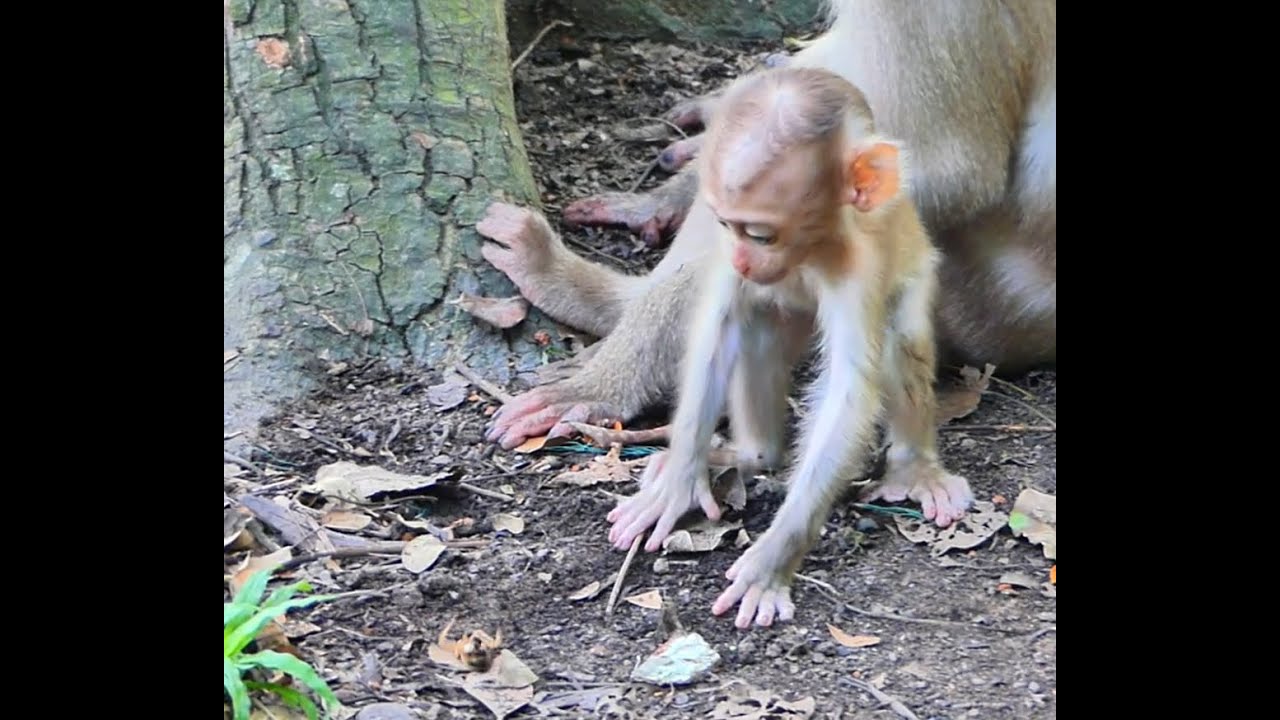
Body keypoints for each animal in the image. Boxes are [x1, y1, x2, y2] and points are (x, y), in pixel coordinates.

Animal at [604, 67, 971, 629]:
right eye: (724, 224)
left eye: (761, 233)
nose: (742, 257)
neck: (811, 250)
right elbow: (716, 331)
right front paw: (680, 480)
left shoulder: (860, 264)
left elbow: (849, 386)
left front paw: (772, 560)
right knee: (756, 323)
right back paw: (750, 454)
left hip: (916, 278)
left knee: (899, 336)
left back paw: (915, 467)